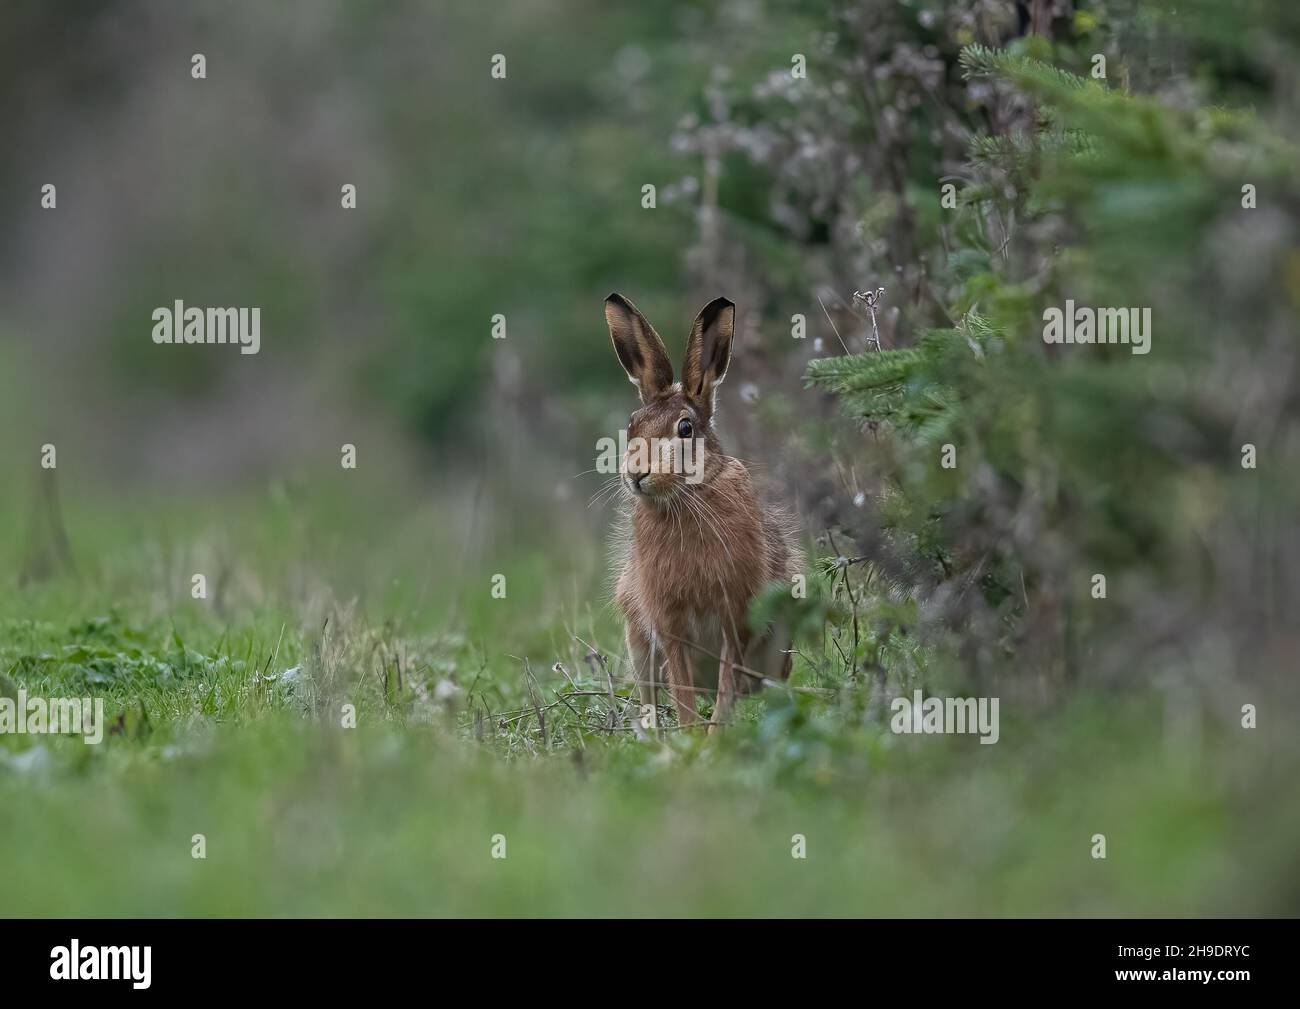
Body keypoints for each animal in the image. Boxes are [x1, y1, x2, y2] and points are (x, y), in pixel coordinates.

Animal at [603, 292, 804, 732]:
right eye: (633, 424)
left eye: (685, 429)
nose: (636, 474)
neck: (688, 495)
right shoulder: (668, 625)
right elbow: (682, 692)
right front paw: (692, 738)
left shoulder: (737, 616)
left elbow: (727, 684)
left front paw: (714, 737)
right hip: (637, 641)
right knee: (649, 697)